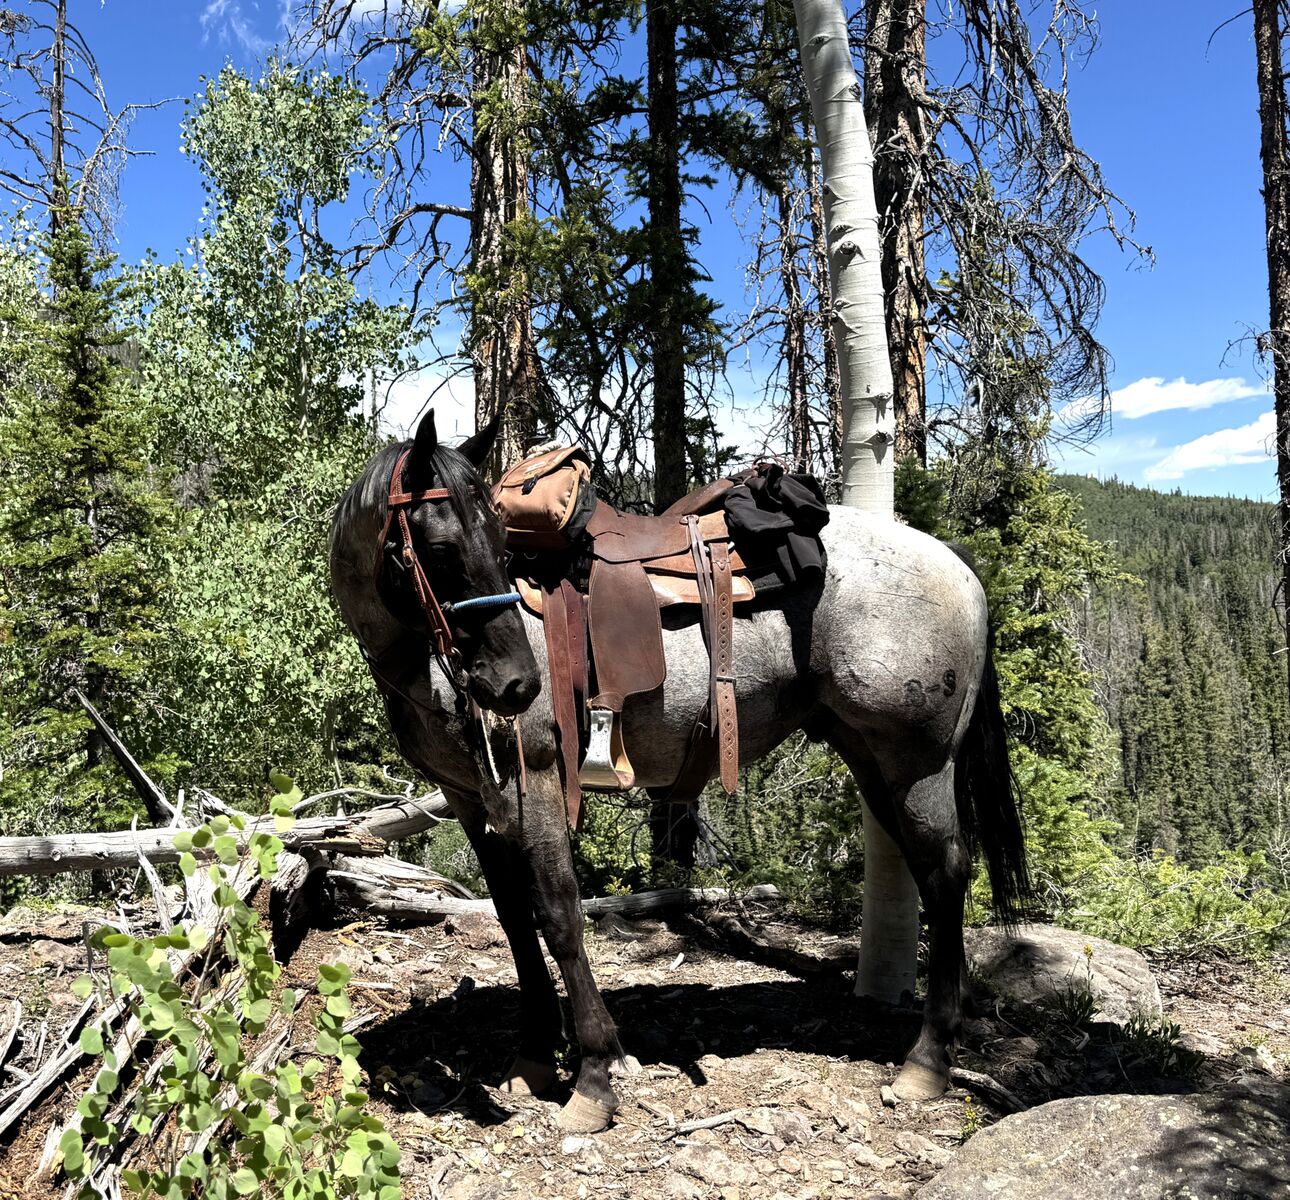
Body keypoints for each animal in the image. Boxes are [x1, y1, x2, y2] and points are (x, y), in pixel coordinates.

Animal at [327, 409, 1029, 1133]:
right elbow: (513, 917)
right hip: (871, 756)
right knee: (930, 871)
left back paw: (929, 1060)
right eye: (439, 549)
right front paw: (534, 1055)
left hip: (918, 761)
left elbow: (557, 911)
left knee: (947, 873)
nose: (515, 685)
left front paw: (594, 1076)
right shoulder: (470, 796)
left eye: (499, 540)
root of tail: (958, 565)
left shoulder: (535, 779)